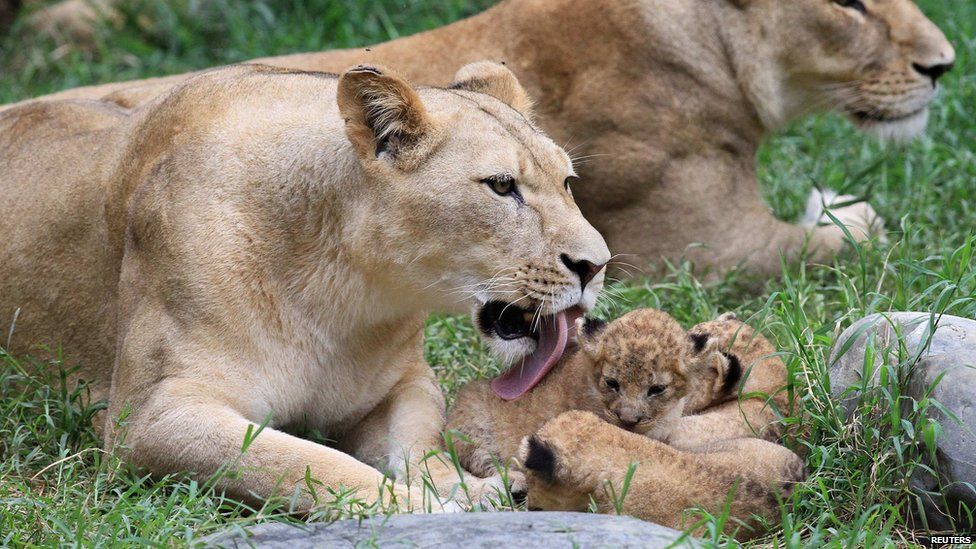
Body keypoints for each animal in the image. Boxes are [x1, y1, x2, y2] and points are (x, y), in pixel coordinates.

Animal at [0, 60, 612, 510]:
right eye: (501, 186)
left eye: (566, 182)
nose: (596, 265)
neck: (339, 289)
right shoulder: (149, 416)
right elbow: (308, 465)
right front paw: (428, 510)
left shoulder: (400, 385)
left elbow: (421, 445)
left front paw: (473, 489)